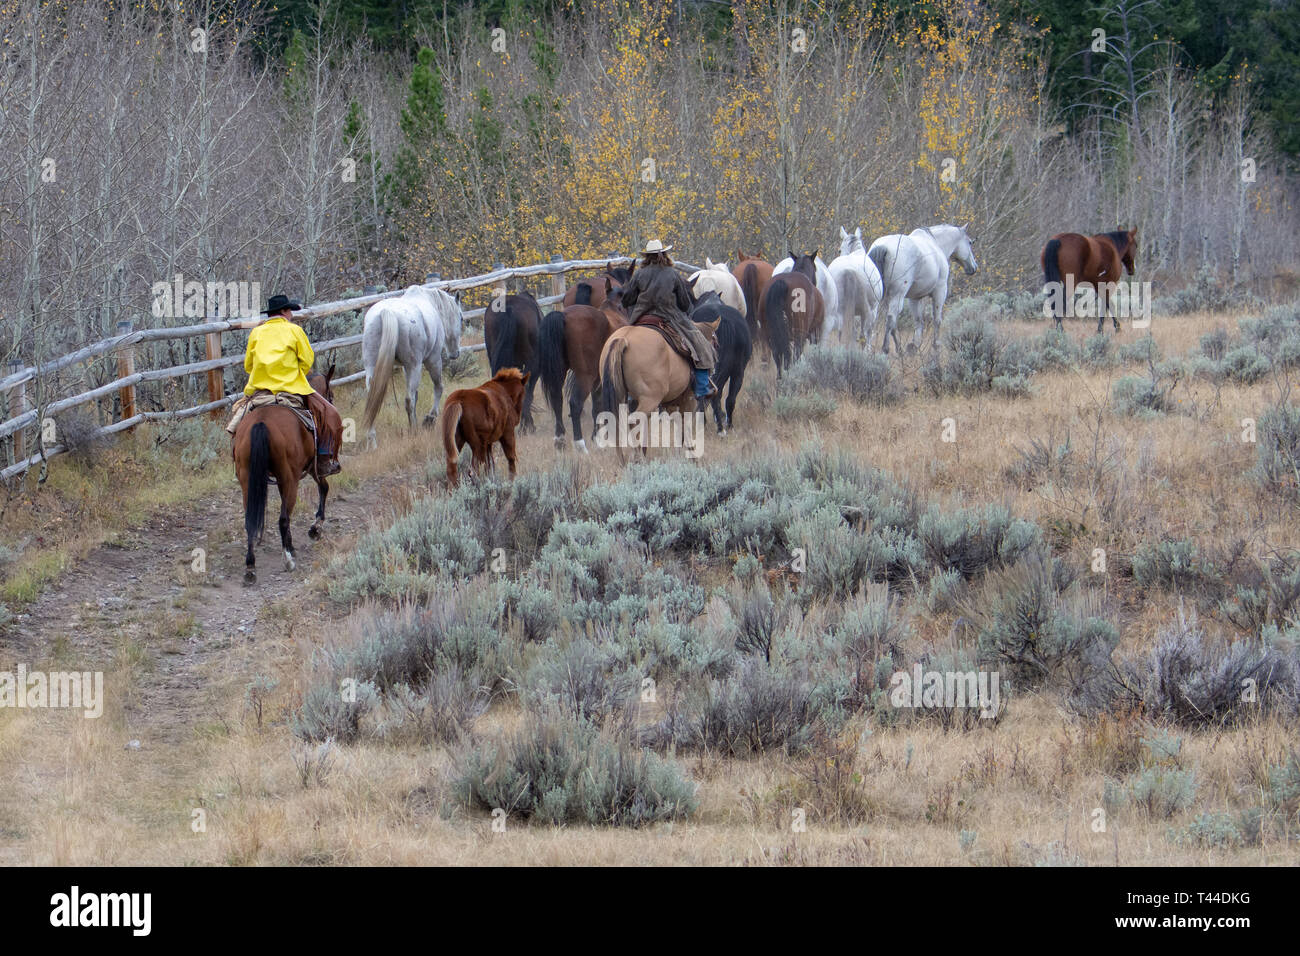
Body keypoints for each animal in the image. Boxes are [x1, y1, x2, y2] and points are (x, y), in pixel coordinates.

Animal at [234, 370, 338, 585]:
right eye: (330, 396)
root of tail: (261, 422)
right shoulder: (312, 467)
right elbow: (324, 487)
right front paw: (315, 528)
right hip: (289, 479)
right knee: (283, 518)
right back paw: (288, 560)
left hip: (248, 480)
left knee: (250, 522)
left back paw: (250, 567)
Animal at [361, 284, 464, 447]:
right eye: (461, 318)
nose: (455, 354)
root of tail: (386, 312)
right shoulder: (432, 360)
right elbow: (438, 387)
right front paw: (430, 418)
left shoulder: (405, 368)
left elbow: (416, 394)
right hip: (415, 366)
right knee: (409, 400)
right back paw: (413, 430)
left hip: (373, 369)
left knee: (373, 401)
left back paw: (372, 442)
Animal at [537, 290, 629, 452]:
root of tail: (563, 316)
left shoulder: (598, 380)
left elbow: (597, 406)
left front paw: (597, 437)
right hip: (585, 377)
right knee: (575, 404)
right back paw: (580, 444)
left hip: (563, 373)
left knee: (557, 400)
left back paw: (560, 440)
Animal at [598, 316, 722, 459]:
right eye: (715, 343)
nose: (715, 365)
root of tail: (624, 338)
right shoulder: (689, 400)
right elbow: (685, 427)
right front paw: (692, 457)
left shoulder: (670, 404)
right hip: (650, 400)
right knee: (634, 421)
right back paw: (638, 457)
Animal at [868, 224, 978, 354]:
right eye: (969, 242)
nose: (973, 267)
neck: (935, 243)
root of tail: (883, 247)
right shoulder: (940, 292)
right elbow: (937, 320)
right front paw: (936, 346)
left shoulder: (915, 298)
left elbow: (918, 321)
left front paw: (914, 346)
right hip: (897, 295)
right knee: (891, 319)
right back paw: (886, 349)